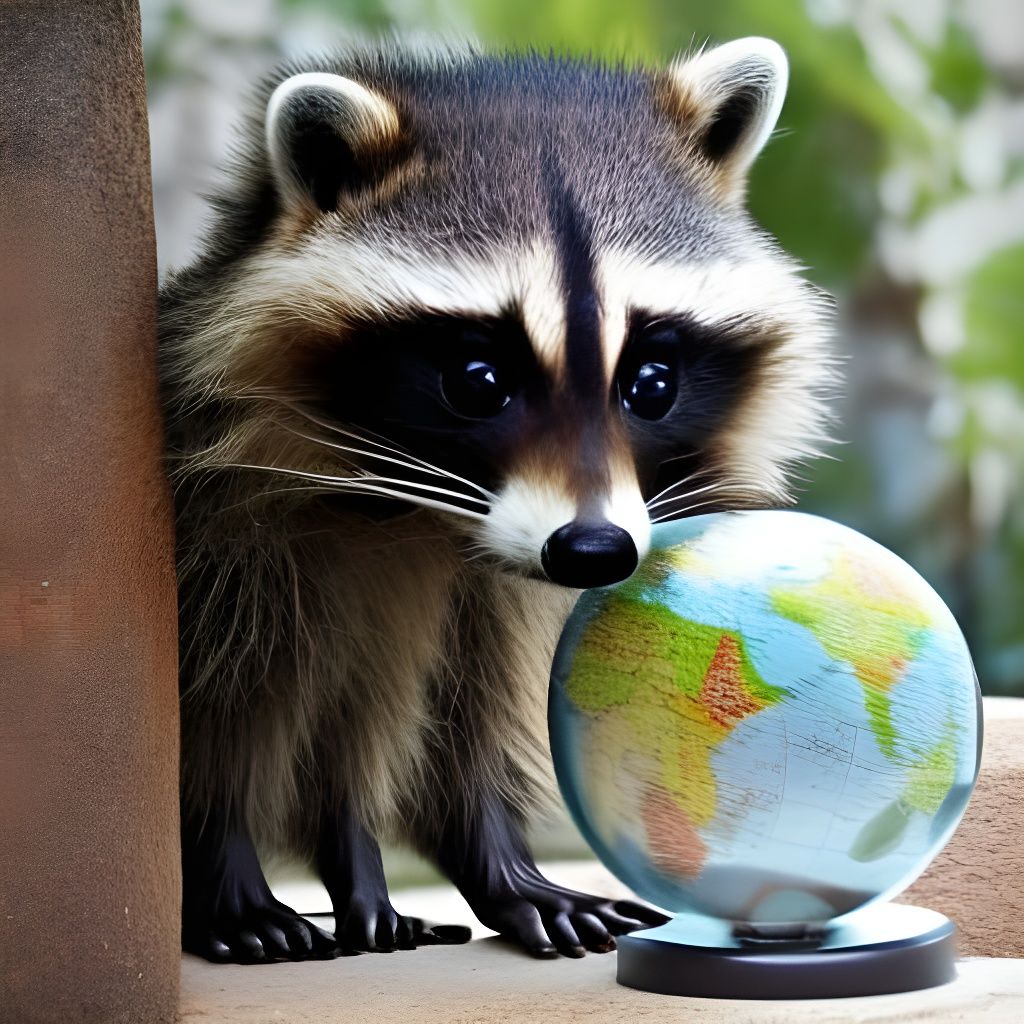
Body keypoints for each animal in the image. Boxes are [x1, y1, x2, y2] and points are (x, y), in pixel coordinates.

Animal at [159, 37, 833, 963]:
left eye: (652, 384)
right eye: (477, 381)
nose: (593, 552)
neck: (418, 517)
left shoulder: (494, 585)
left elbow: (465, 721)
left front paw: (494, 858)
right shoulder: (221, 536)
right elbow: (218, 713)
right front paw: (221, 864)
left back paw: (358, 863)